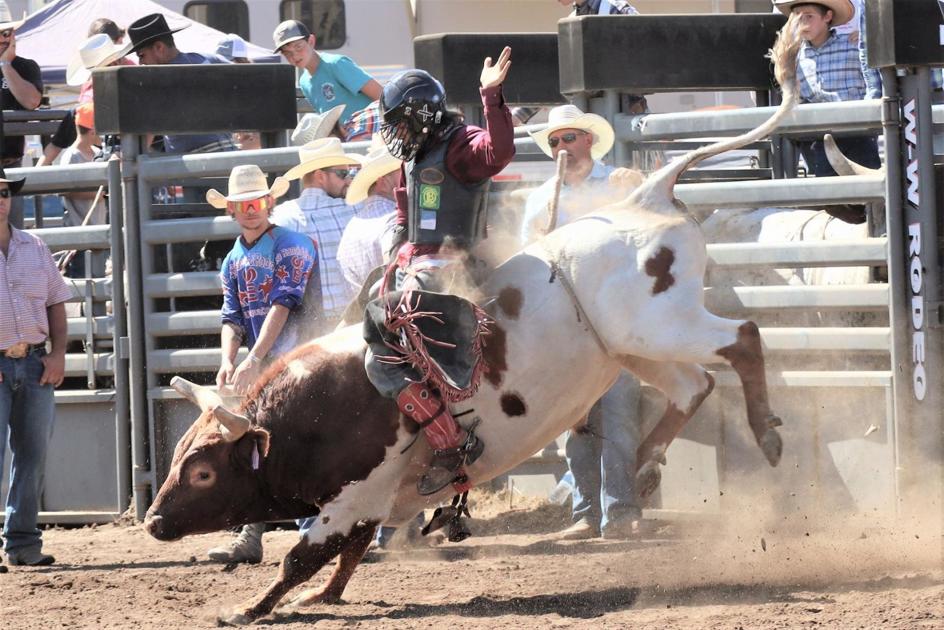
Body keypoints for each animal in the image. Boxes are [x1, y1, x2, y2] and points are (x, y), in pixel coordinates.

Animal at [143, 20, 803, 626]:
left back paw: (768, 435)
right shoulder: (376, 498)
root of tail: (648, 195)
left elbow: (304, 554)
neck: (312, 410)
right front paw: (323, 597)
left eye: (202, 471)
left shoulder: (357, 491)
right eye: (177, 455)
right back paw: (644, 463)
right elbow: (349, 552)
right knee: (695, 384)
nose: (152, 521)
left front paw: (250, 607)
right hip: (633, 347)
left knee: (743, 339)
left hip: (660, 324)